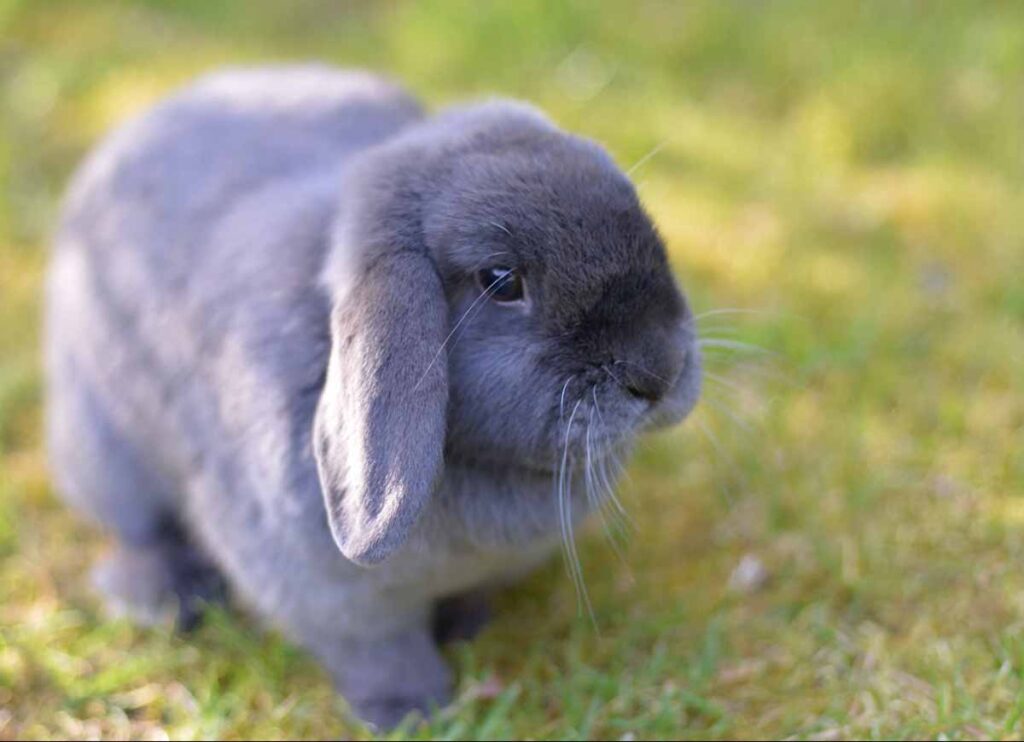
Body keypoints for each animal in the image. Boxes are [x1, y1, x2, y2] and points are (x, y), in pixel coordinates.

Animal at [44, 64, 702, 729]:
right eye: (501, 281)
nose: (659, 373)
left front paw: (466, 624)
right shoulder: (336, 601)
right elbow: (380, 650)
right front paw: (410, 712)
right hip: (105, 452)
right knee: (140, 531)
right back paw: (162, 598)